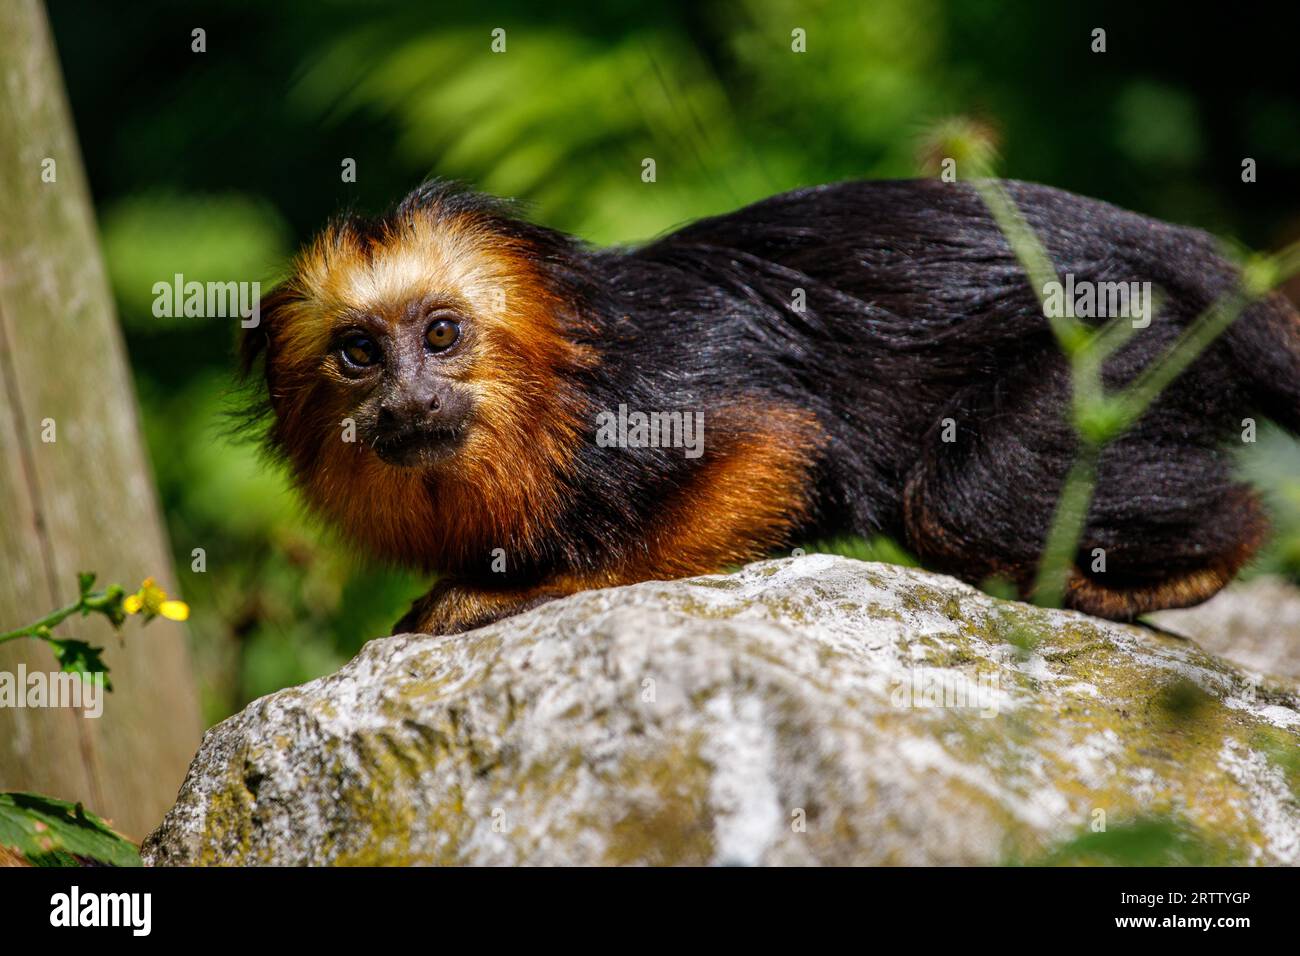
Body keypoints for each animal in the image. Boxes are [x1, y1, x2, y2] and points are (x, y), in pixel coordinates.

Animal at [240, 178, 1300, 634]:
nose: (408, 397)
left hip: (1129, 340)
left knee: (966, 504)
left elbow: (783, 443)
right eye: (360, 353)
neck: (560, 394)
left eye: (441, 335)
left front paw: (539, 588)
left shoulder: (660, 393)